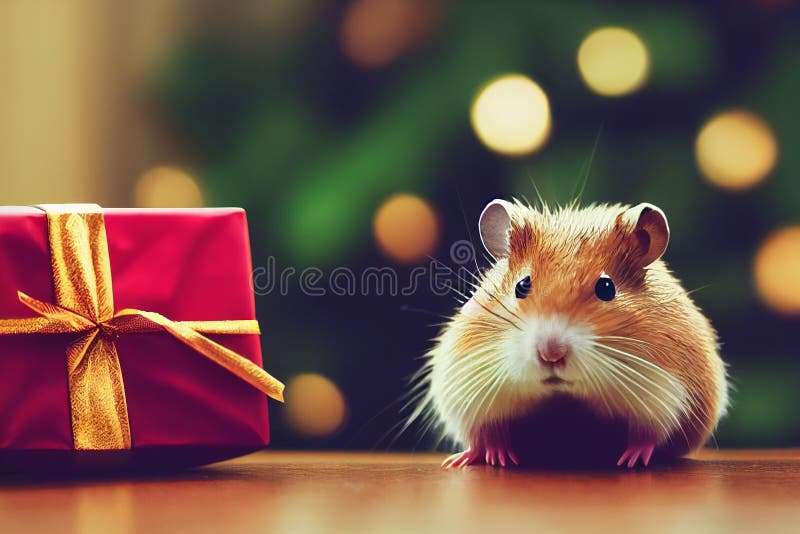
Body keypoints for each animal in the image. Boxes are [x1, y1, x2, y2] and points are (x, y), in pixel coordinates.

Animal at [421, 199, 728, 469]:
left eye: (607, 287)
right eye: (522, 285)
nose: (550, 354)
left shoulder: (666, 390)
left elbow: (649, 433)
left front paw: (631, 460)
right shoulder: (466, 382)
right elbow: (483, 431)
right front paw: (490, 458)